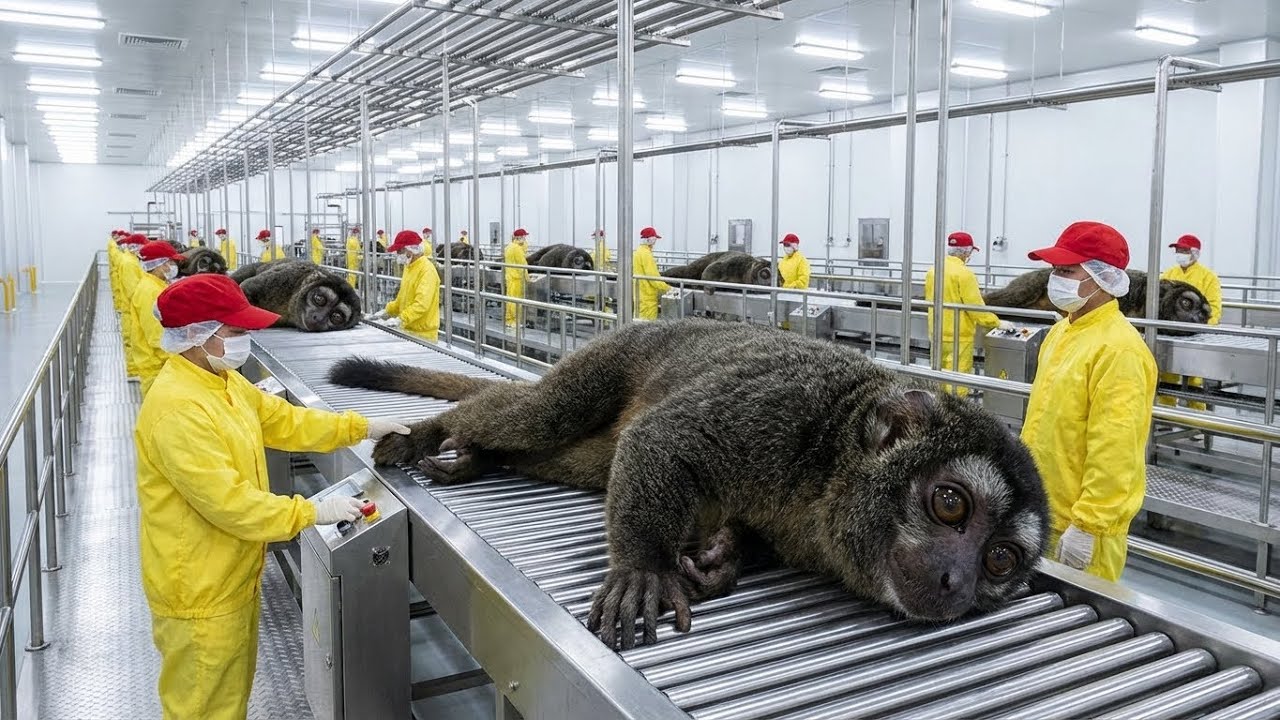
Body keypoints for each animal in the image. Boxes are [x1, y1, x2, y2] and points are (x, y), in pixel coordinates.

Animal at [328, 318, 1048, 650]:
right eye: (950, 503)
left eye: (999, 561)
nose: (956, 580)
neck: (828, 471)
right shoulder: (780, 412)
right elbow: (665, 437)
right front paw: (645, 569)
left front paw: (724, 557)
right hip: (609, 360)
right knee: (543, 412)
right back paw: (435, 434)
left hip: (588, 450)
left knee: (575, 453)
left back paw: (477, 457)